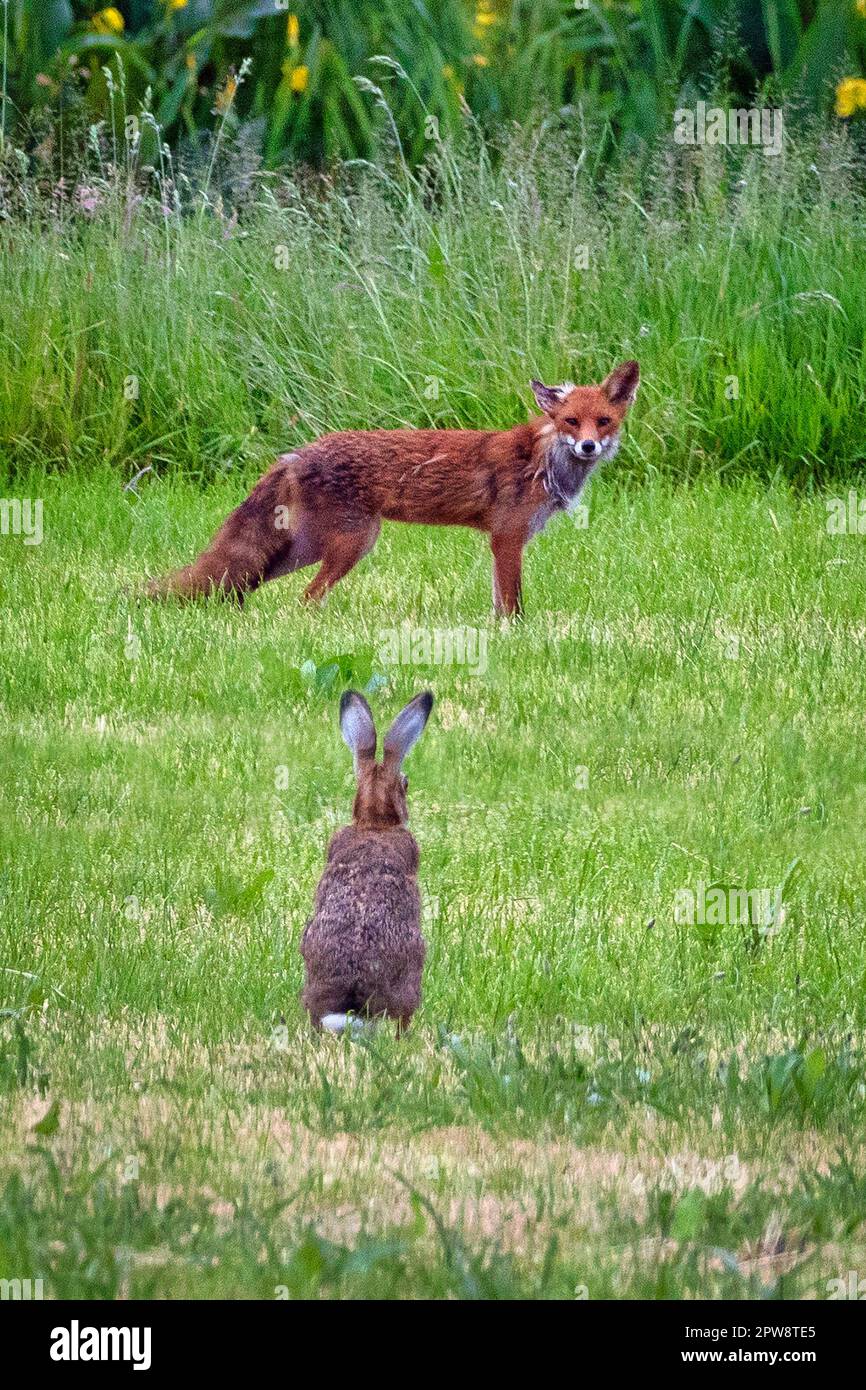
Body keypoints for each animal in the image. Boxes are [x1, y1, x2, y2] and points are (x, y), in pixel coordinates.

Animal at [146, 360, 639, 617]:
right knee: (305, 597)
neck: (545, 461)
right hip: (353, 543)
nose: (590, 445)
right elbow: (512, 604)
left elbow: (499, 602)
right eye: (570, 421)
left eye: (603, 421)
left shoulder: (502, 541)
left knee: (252, 583)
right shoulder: (507, 537)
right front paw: (513, 636)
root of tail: (299, 451)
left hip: (304, 548)